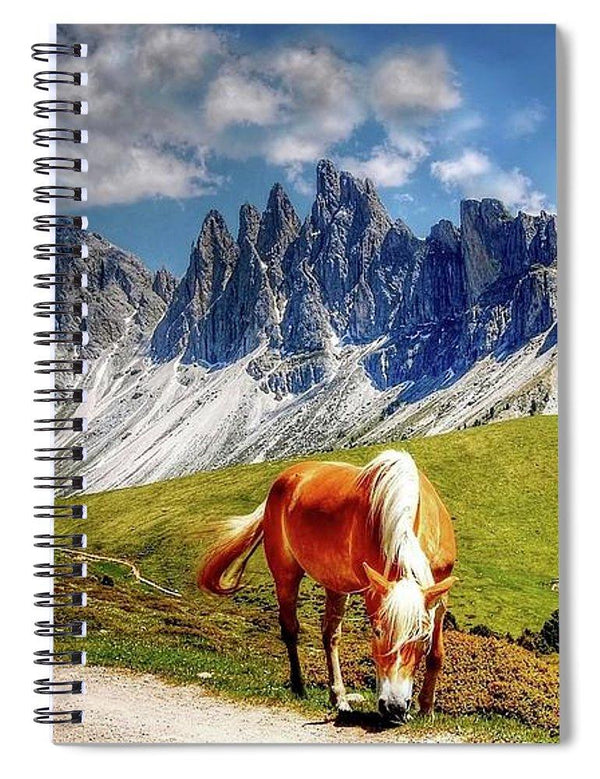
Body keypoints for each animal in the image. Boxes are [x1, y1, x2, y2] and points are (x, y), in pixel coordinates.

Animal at [198, 449, 457, 724]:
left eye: (422, 637)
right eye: (377, 632)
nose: (394, 707)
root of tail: (285, 478)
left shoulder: (440, 596)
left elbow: (436, 654)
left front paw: (426, 708)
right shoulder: (372, 593)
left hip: (336, 585)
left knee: (330, 635)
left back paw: (338, 697)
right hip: (286, 575)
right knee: (290, 629)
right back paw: (299, 686)